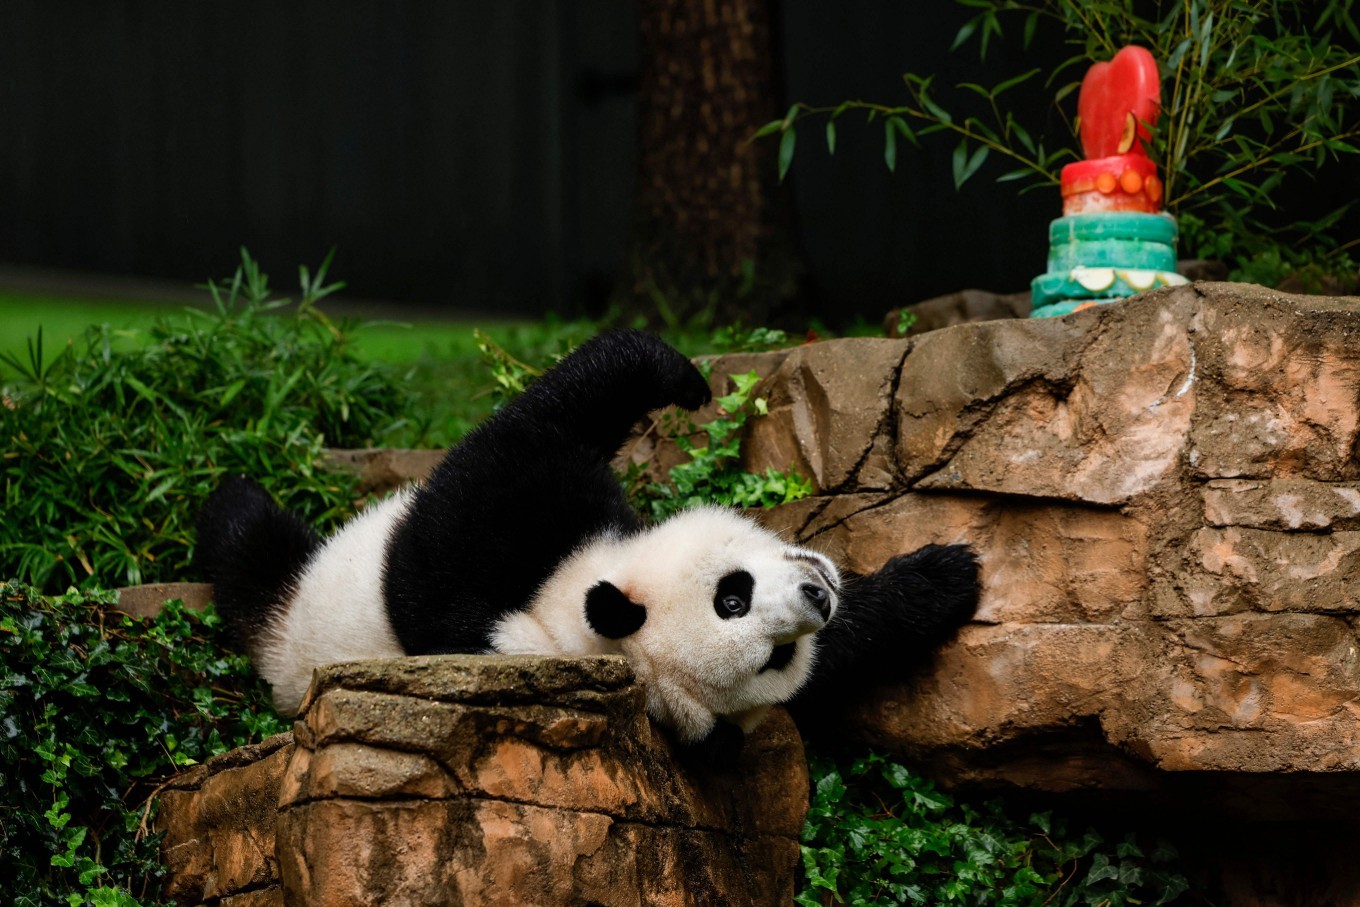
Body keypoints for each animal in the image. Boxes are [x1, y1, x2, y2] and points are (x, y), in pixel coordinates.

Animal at [195, 330, 979, 746]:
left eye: (777, 655)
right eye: (733, 599)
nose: (818, 596)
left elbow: (845, 652)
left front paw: (941, 580)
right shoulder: (495, 546)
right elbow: (518, 442)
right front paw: (682, 378)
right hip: (300, 597)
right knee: (250, 544)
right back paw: (229, 492)